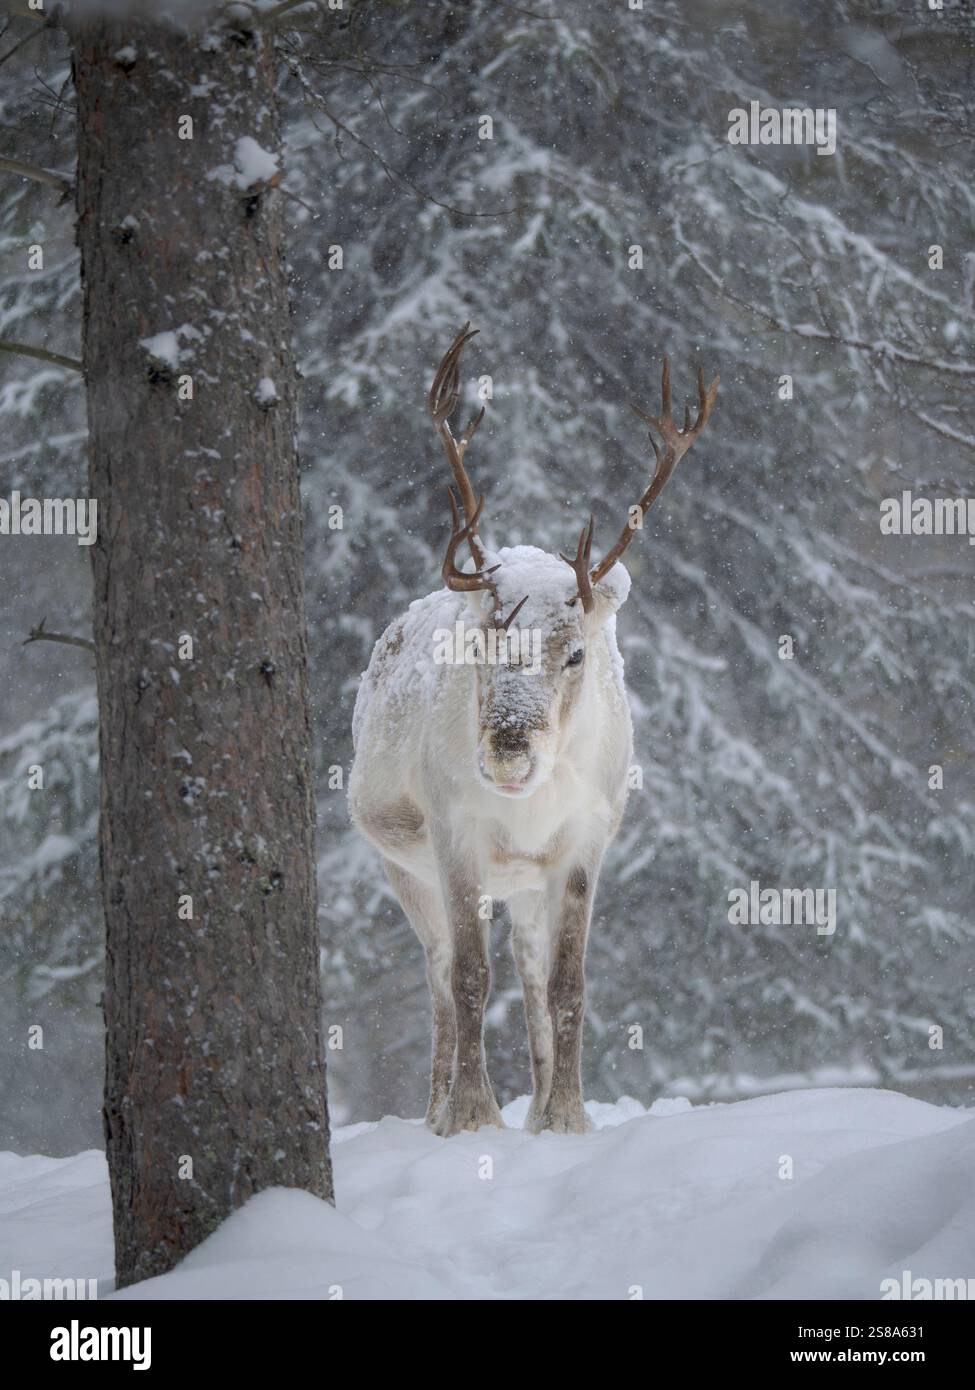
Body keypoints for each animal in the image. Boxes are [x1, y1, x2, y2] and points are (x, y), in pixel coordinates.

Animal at [348, 326, 718, 1136]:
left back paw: (540, 1103)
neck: (531, 803)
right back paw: (433, 1109)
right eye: (482, 640)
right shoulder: (453, 833)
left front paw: (567, 1118)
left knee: (527, 969)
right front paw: (470, 1115)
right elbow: (468, 977)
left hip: (521, 883)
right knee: (436, 974)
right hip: (399, 864)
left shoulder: (585, 838)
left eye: (575, 651)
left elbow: (567, 984)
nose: (509, 750)